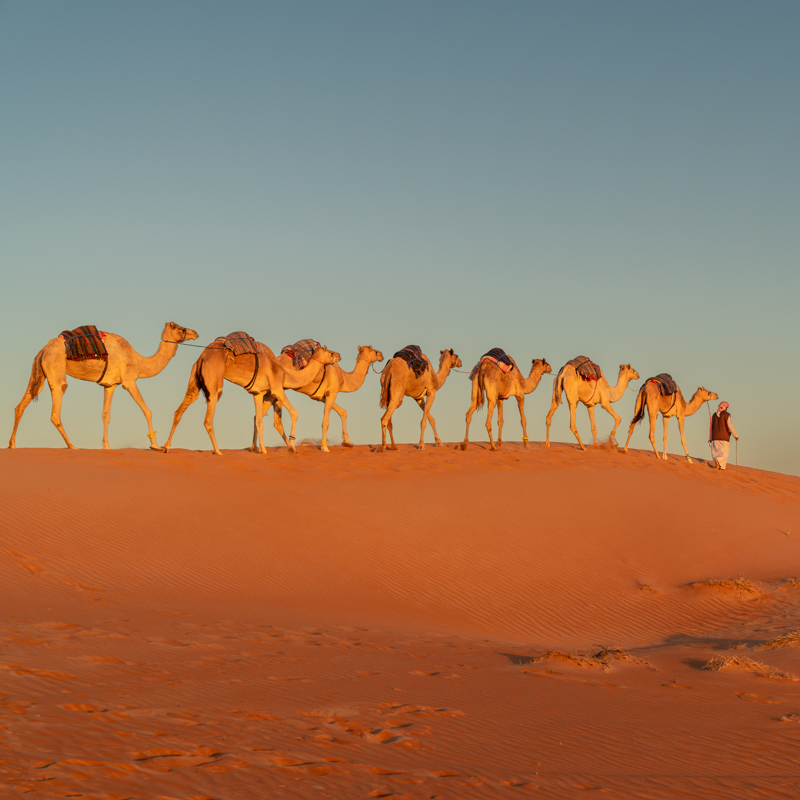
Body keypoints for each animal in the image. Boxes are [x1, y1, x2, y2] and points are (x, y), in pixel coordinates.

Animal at [9, 321, 198, 451]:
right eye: (181, 328)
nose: (195, 332)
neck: (140, 362)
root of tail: (43, 350)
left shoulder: (110, 384)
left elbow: (106, 415)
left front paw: (106, 446)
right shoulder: (129, 381)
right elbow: (147, 411)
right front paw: (155, 445)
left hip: (39, 373)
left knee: (22, 404)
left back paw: (12, 444)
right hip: (56, 370)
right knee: (56, 410)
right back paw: (72, 446)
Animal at [162, 338, 337, 455]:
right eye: (330, 352)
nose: (339, 355)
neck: (285, 373)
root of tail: (203, 356)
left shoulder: (258, 393)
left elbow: (259, 421)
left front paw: (262, 450)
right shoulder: (276, 389)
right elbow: (295, 413)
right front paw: (292, 446)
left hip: (194, 379)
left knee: (179, 410)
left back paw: (166, 447)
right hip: (214, 383)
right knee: (208, 419)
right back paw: (218, 451)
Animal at [252, 345, 384, 452]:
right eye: (374, 350)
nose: (382, 355)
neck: (343, 377)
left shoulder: (323, 396)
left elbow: (343, 412)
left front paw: (347, 442)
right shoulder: (332, 392)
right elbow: (325, 422)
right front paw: (324, 447)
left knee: (259, 416)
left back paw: (255, 448)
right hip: (277, 387)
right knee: (273, 420)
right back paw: (286, 447)